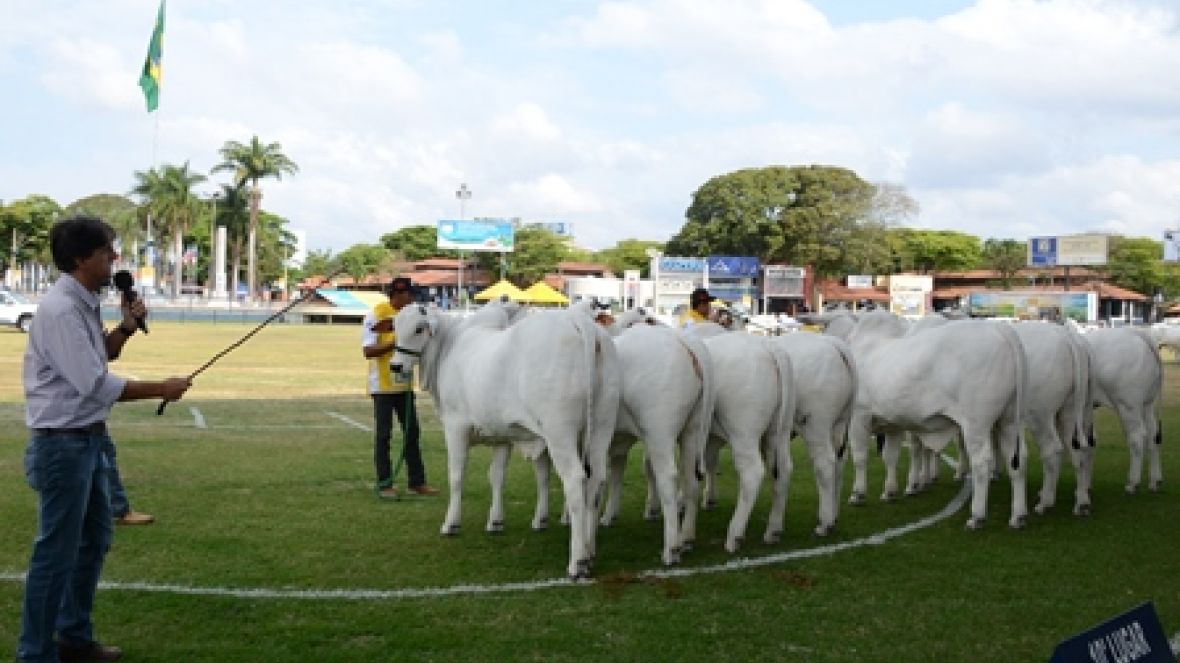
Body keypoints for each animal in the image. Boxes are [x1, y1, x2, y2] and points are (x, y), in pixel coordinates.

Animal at [391, 302, 623, 575]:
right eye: (395, 326)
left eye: (419, 328)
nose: (395, 366)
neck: (450, 344)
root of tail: (580, 322)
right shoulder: (502, 436)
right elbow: (497, 476)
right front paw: (496, 521)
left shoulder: (456, 427)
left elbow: (457, 476)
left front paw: (451, 524)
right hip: (601, 427)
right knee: (596, 480)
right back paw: (590, 551)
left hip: (560, 431)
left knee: (576, 480)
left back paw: (577, 561)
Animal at [844, 309, 1028, 526]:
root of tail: (1000, 328)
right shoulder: (893, 425)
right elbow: (890, 457)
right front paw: (889, 491)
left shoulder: (859, 417)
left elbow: (859, 457)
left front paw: (857, 494)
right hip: (1010, 420)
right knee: (1018, 460)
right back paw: (1018, 516)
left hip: (976, 424)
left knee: (982, 462)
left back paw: (977, 516)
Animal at [1080, 325, 1165, 490]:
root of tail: (1135, 332)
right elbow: (1090, 442)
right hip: (1147, 404)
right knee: (1153, 435)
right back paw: (1154, 481)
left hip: (1127, 404)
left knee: (1137, 437)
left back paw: (1132, 483)